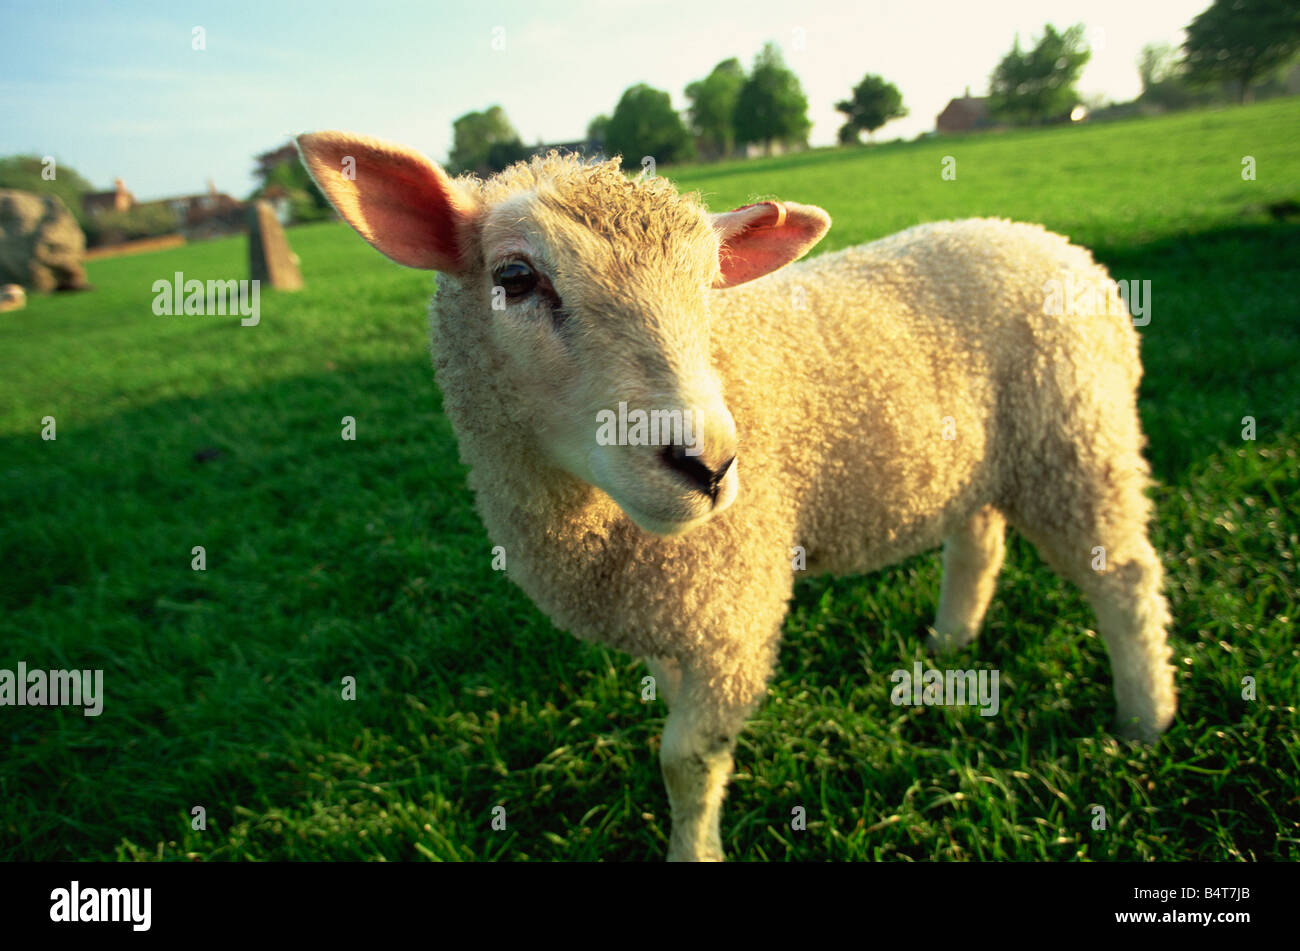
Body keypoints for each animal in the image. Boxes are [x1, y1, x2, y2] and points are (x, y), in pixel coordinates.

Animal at [296, 131, 1178, 862]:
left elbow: (687, 759)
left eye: (708, 287)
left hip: (1077, 440)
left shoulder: (733, 608)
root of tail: (1058, 247)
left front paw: (695, 851)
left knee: (1126, 579)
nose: (710, 464)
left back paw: (1145, 719)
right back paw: (950, 641)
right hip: (985, 458)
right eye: (514, 277)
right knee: (980, 538)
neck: (593, 529)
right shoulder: (668, 611)